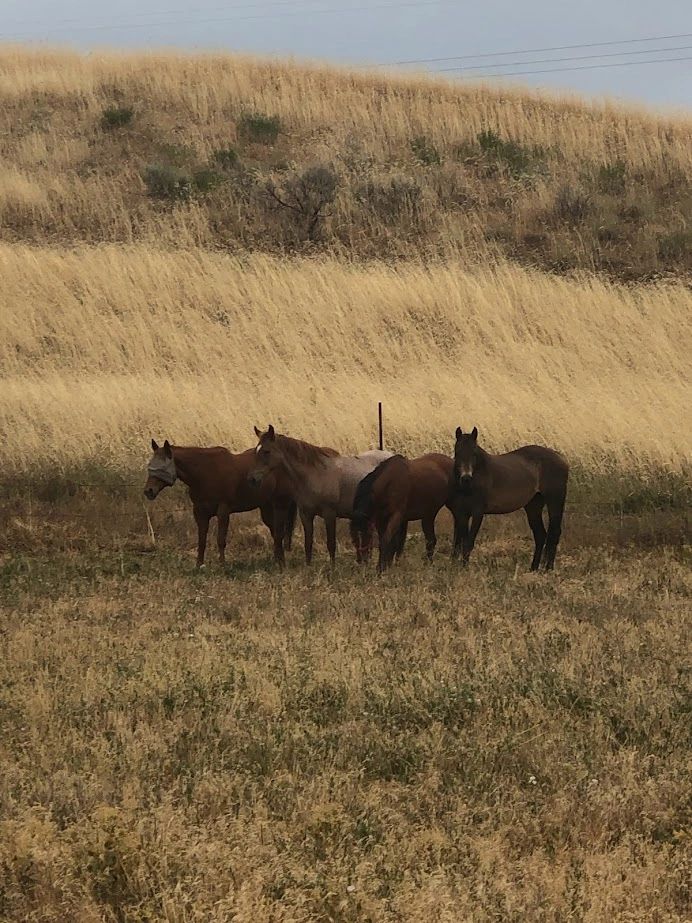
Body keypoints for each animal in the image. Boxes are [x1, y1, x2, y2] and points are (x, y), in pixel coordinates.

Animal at [144, 439, 297, 568]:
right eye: (150, 466)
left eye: (162, 467)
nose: (148, 491)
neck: (205, 473)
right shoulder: (199, 512)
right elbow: (201, 540)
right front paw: (198, 565)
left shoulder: (223, 510)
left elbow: (220, 540)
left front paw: (222, 565)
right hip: (266, 508)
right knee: (275, 533)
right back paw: (277, 560)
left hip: (281, 505)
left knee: (280, 533)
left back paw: (281, 562)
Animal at [249, 426, 393, 564]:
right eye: (256, 451)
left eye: (267, 451)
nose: (252, 479)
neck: (315, 474)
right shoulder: (305, 514)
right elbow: (308, 543)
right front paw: (308, 566)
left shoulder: (329, 514)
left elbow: (331, 544)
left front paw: (332, 568)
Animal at [449, 427, 569, 570]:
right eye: (457, 452)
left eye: (474, 453)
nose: (466, 478)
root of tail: (561, 458)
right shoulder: (461, 514)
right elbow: (458, 543)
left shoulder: (477, 512)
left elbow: (468, 542)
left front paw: (464, 568)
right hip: (533, 506)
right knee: (540, 535)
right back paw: (533, 568)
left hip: (555, 501)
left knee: (554, 532)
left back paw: (548, 569)